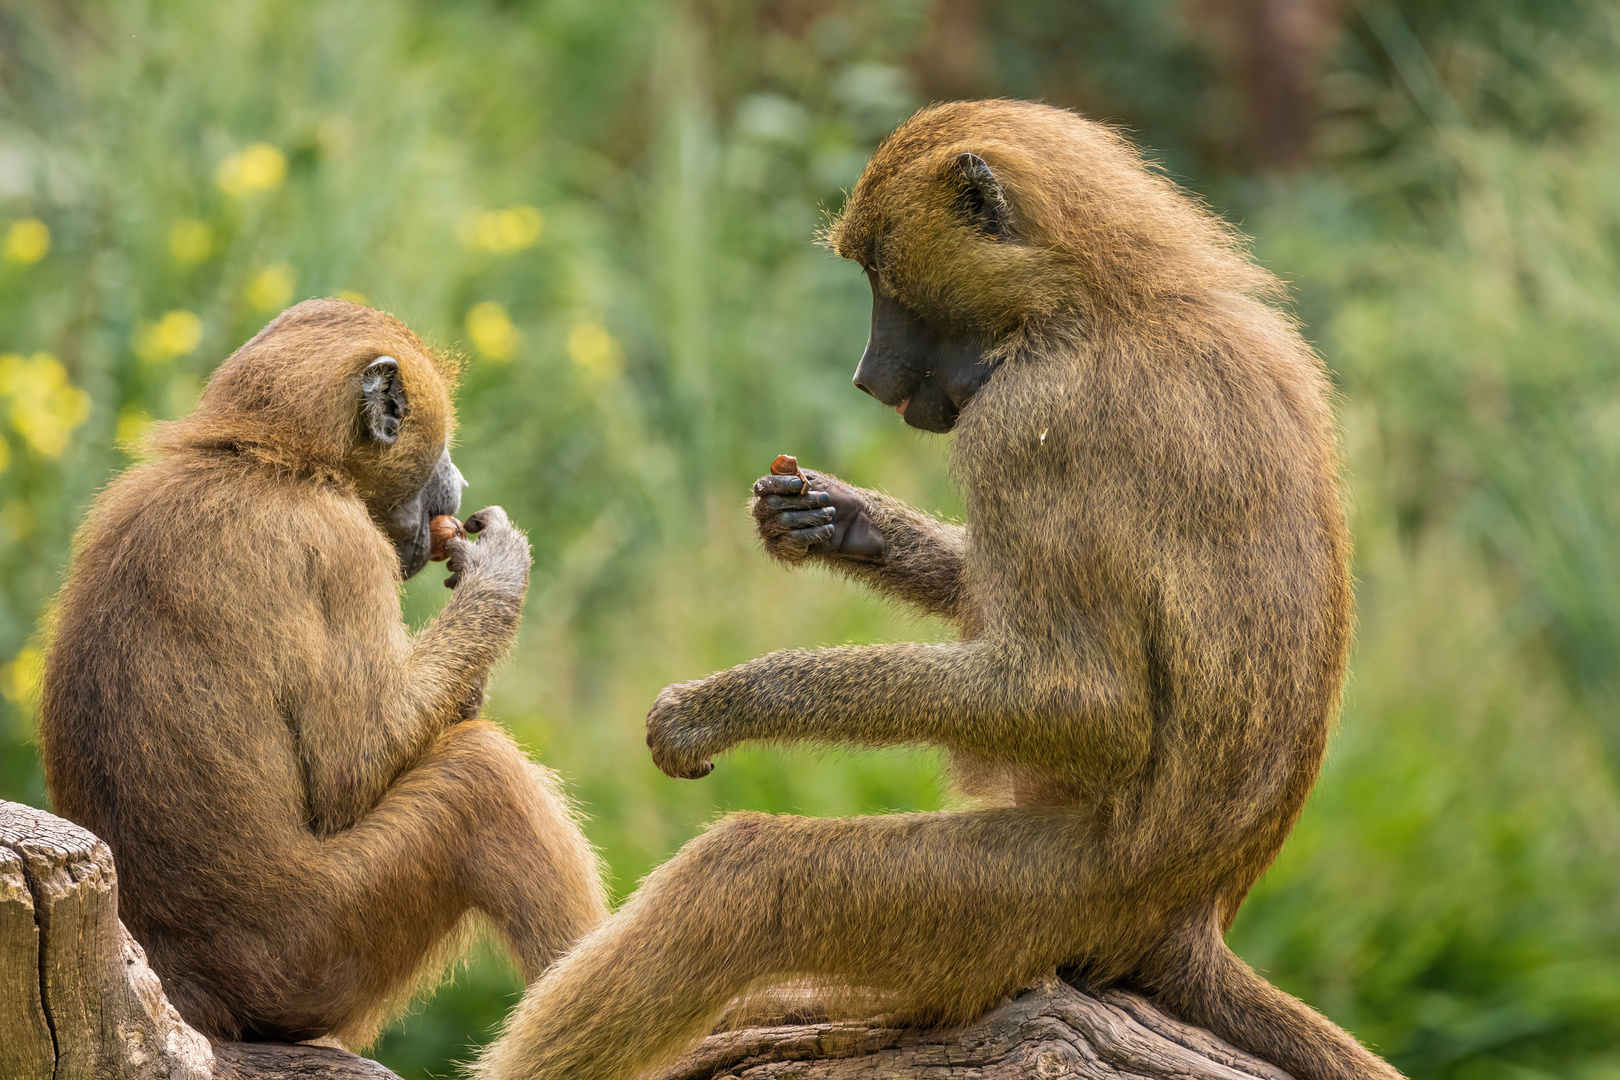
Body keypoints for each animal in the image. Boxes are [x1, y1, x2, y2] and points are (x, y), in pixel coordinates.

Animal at [37, 298, 607, 1046]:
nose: (459, 486)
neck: (266, 461)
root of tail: (188, 989)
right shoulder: (343, 546)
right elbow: (352, 770)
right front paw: (496, 573)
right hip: (314, 948)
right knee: (481, 779)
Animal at [471, 100, 1400, 1080]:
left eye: (883, 275)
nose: (867, 379)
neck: (1111, 301)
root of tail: (1187, 917)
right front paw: (829, 517)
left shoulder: (1026, 421)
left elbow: (1085, 701)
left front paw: (720, 705)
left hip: (1041, 898)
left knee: (748, 879)